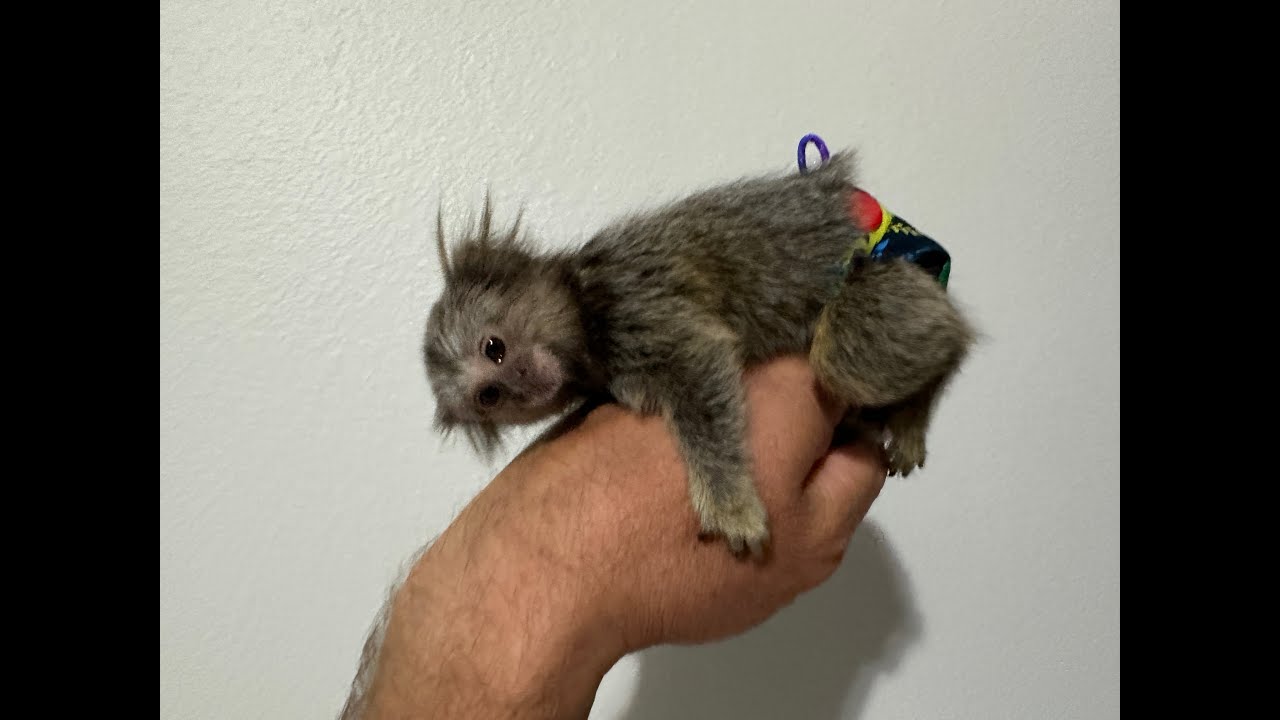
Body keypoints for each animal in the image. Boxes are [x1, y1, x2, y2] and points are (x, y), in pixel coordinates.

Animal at [422, 150, 973, 558]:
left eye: (494, 348)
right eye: (490, 396)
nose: (521, 380)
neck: (582, 309)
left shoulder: (632, 302)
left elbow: (697, 361)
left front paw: (730, 501)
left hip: (892, 276)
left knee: (862, 354)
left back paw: (920, 401)